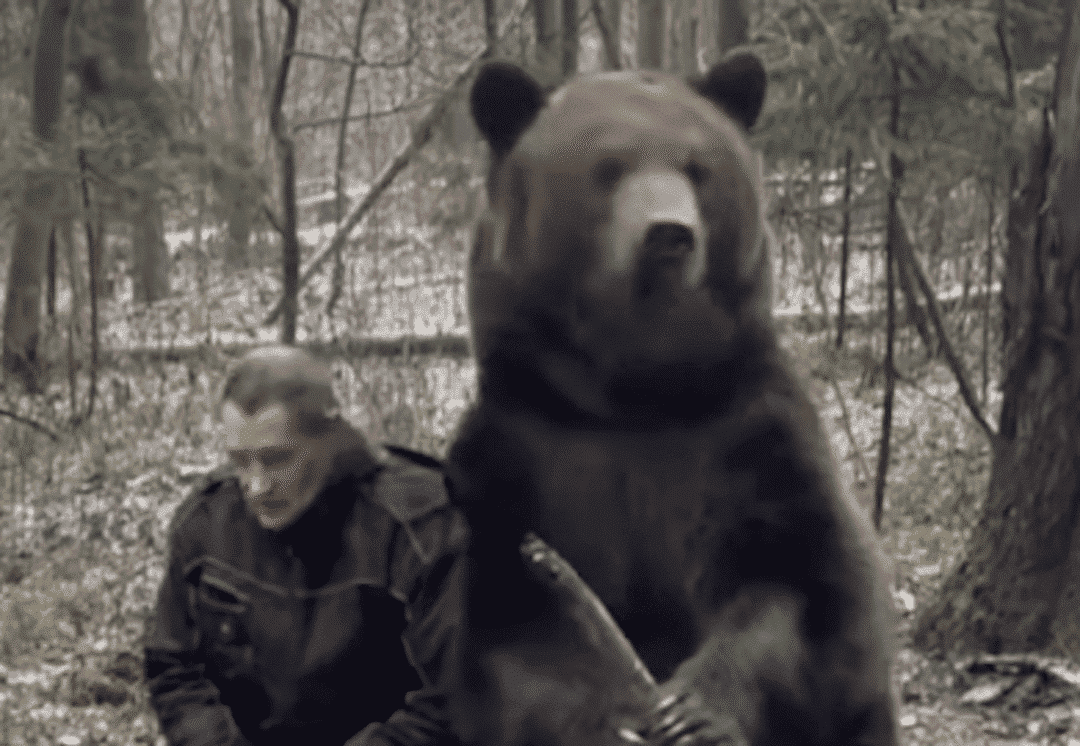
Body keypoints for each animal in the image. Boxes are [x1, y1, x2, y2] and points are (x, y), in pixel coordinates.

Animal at [444, 53, 899, 746]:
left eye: (697, 168)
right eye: (606, 169)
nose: (669, 234)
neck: (636, 395)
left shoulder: (749, 433)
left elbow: (797, 584)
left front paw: (693, 712)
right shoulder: (523, 454)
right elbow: (517, 631)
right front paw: (617, 719)